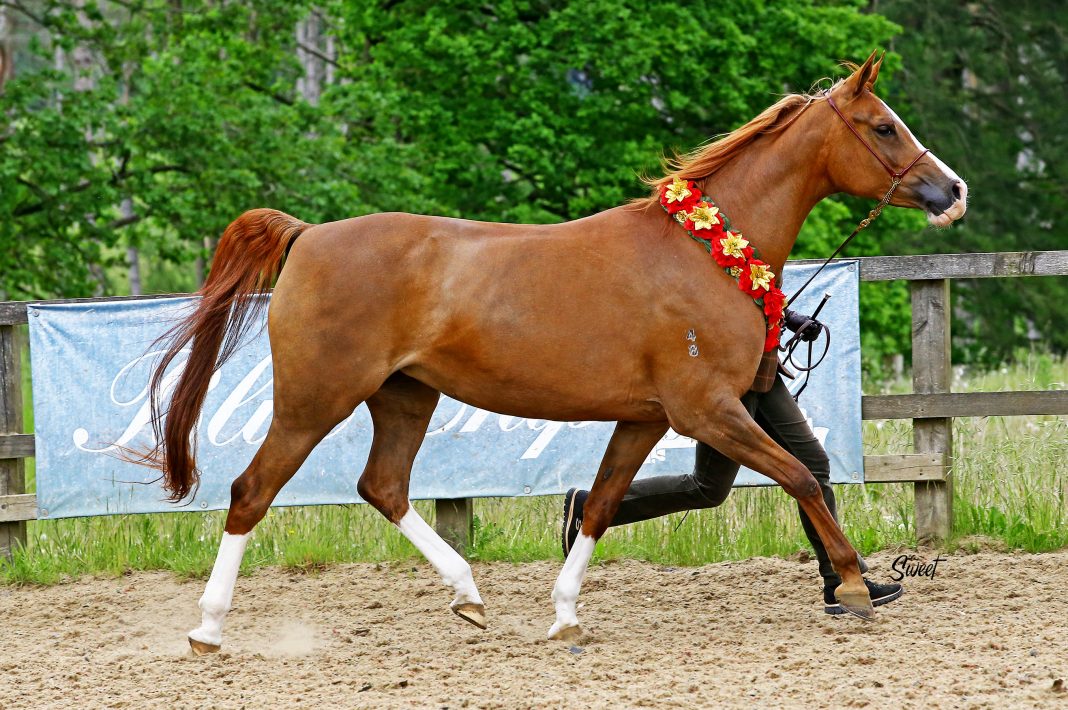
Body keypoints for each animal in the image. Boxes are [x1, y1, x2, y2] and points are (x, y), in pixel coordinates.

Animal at [141, 52, 967, 654]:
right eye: (882, 126)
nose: (952, 190)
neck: (704, 251)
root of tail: (309, 236)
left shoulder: (647, 417)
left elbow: (599, 504)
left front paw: (565, 614)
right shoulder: (708, 411)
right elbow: (798, 474)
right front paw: (855, 585)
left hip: (405, 395)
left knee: (383, 487)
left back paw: (470, 597)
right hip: (316, 399)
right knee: (252, 492)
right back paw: (207, 629)